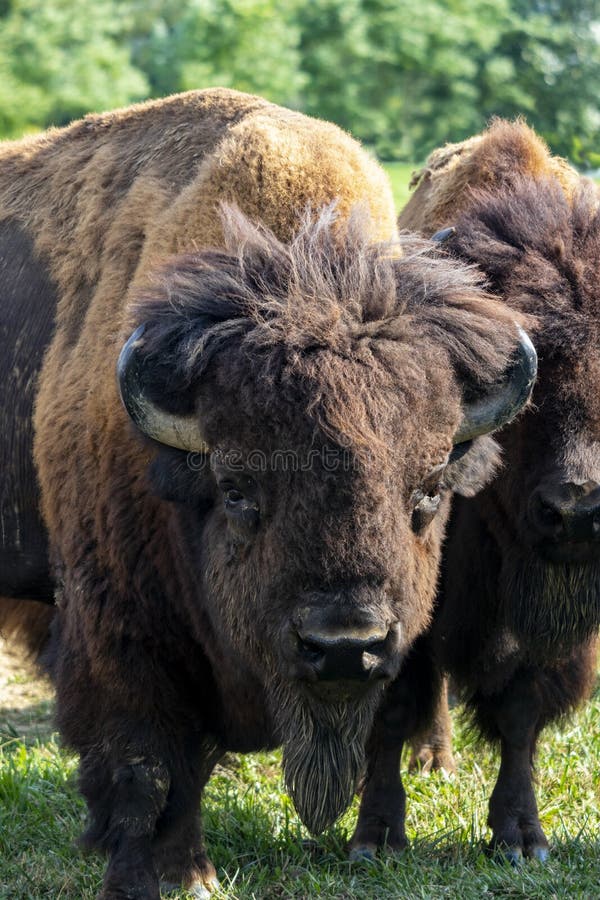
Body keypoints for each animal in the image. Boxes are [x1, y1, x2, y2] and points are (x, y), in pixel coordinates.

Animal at [0, 92, 535, 896]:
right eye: (237, 489)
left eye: (430, 489)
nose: (343, 646)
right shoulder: (120, 631)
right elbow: (148, 765)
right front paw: (160, 875)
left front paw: (183, 869)